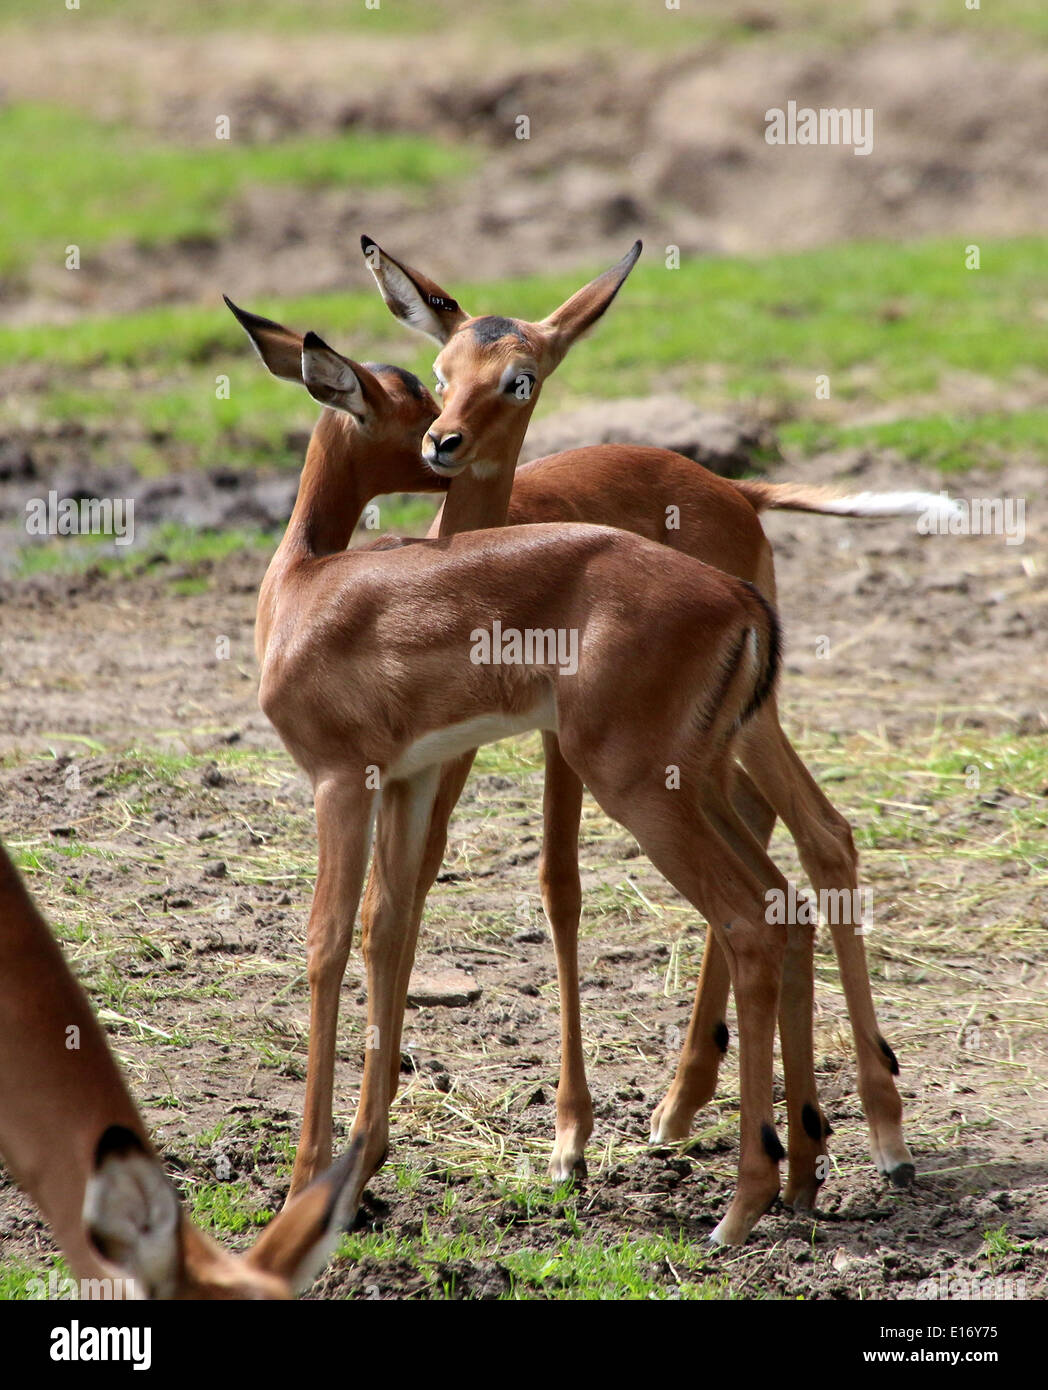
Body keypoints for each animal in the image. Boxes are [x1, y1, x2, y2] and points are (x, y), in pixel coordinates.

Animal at [225, 286, 825, 1245]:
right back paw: (799, 1174)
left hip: (639, 790)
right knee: (789, 901)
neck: (305, 588)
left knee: (749, 920)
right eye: (426, 385)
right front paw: (356, 1175)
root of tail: (739, 595)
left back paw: (739, 1202)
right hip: (694, 782)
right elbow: (389, 930)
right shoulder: (409, 779)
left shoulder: (340, 783)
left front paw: (304, 1187)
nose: (444, 449)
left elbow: (326, 943)